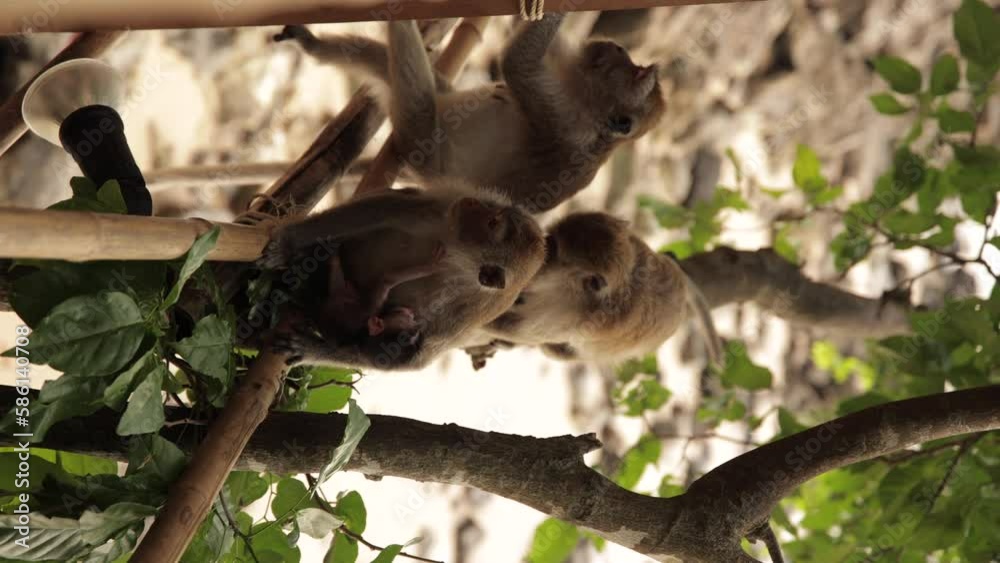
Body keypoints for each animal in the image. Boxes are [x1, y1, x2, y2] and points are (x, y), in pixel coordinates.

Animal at [258, 184, 547, 371]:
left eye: (492, 223)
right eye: (494, 215)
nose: (473, 203)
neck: (462, 262)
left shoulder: (465, 313)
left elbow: (409, 356)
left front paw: (313, 350)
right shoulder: (442, 211)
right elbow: (389, 209)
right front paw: (288, 243)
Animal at [274, 14, 666, 213]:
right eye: (624, 55)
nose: (614, 47)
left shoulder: (561, 117)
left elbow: (518, 62)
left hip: (422, 143)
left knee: (415, 87)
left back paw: (399, 15)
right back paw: (314, 45)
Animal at [464, 212, 723, 367]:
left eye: (554, 248)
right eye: (550, 240)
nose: (541, 254)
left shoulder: (569, 314)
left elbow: (521, 329)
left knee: (560, 350)